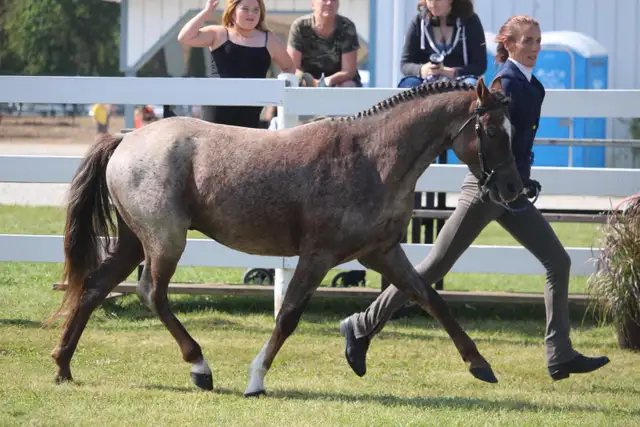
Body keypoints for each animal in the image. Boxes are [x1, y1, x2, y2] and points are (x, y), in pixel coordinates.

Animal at [48, 76, 522, 397]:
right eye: (491, 131)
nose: (515, 188)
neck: (372, 158)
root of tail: (126, 139)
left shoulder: (381, 252)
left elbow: (428, 296)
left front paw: (480, 365)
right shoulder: (318, 255)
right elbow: (288, 315)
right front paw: (256, 379)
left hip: (133, 241)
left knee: (94, 287)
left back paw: (63, 365)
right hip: (166, 240)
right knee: (152, 292)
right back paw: (200, 366)